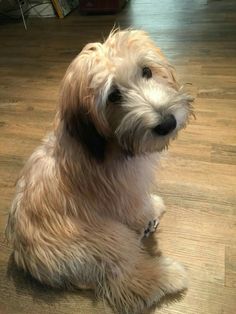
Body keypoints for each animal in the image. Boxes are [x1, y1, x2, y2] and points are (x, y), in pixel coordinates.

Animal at [6, 29, 194, 314]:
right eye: (114, 95)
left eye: (146, 71)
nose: (166, 123)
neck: (107, 142)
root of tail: (28, 260)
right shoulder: (126, 192)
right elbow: (137, 208)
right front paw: (150, 211)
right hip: (105, 238)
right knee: (127, 282)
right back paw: (168, 276)